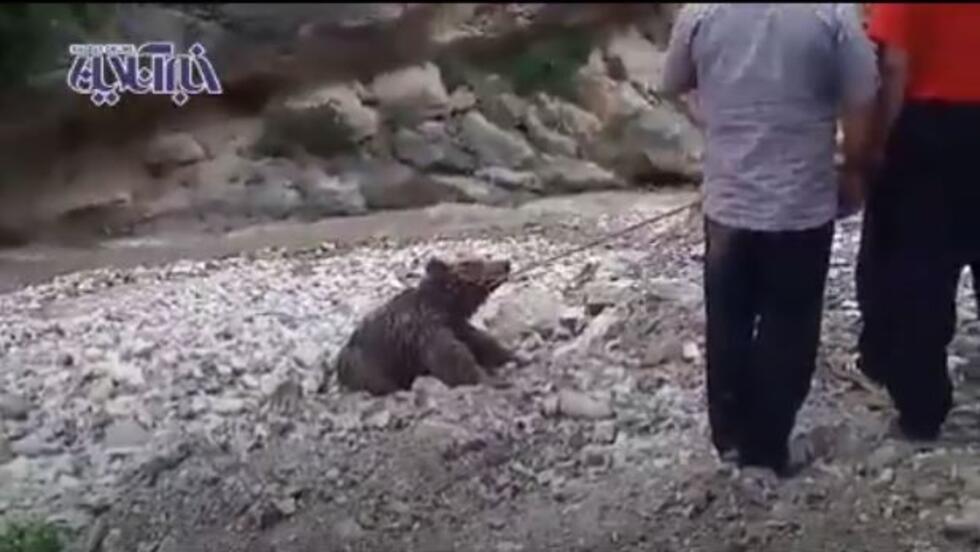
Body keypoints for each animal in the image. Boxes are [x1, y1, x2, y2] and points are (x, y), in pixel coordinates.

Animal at [329, 256, 515, 396]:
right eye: (473, 263)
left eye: (484, 258)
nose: (506, 263)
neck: (442, 305)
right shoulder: (424, 331)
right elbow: (451, 360)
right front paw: (493, 380)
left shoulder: (455, 324)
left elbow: (481, 342)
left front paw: (512, 356)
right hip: (364, 366)